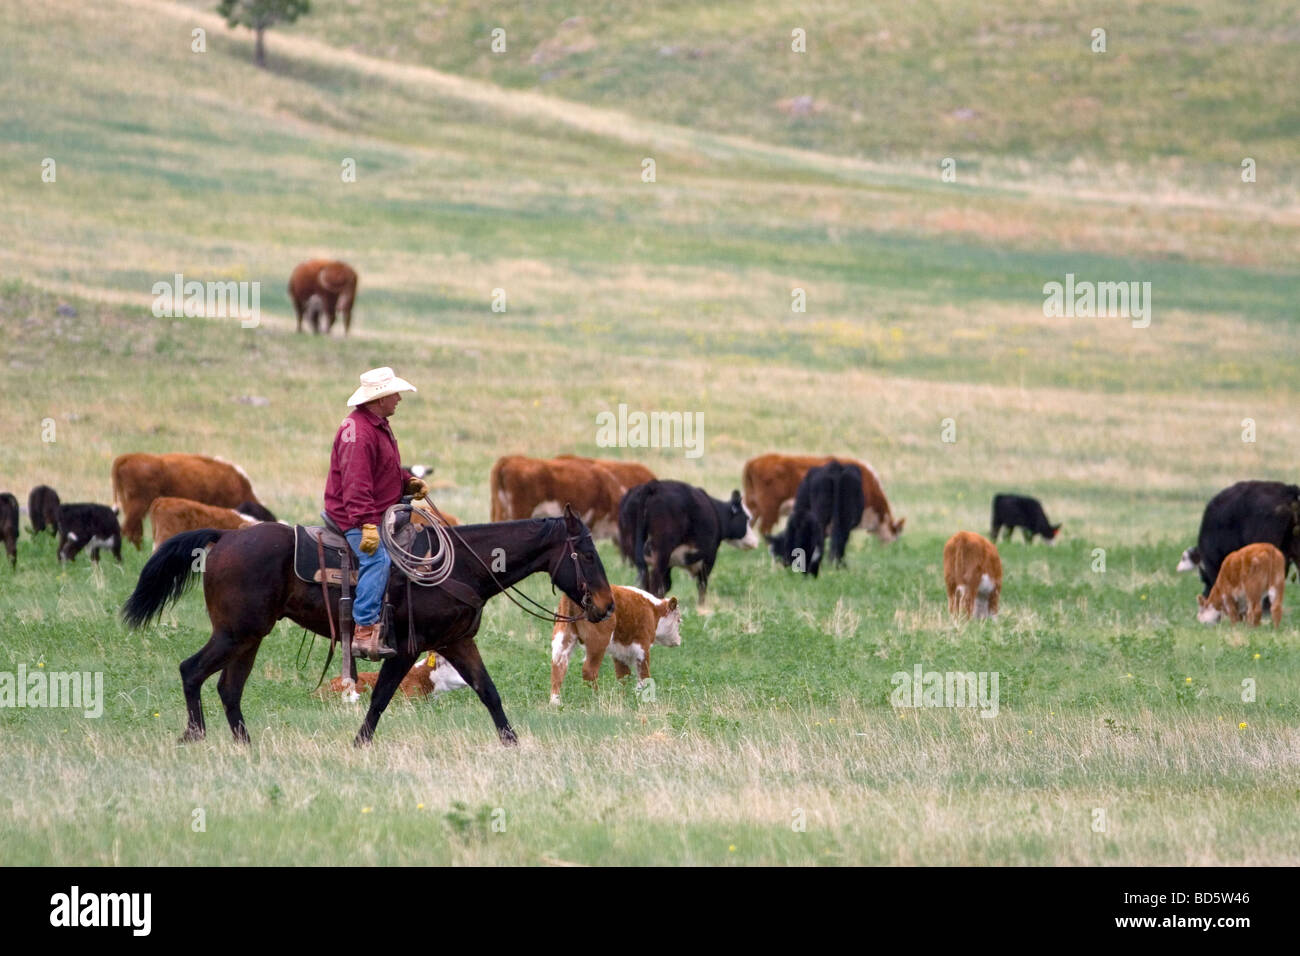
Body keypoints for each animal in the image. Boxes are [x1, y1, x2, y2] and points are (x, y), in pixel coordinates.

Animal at [550, 585, 682, 703]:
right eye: (679, 620)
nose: (678, 640)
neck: (653, 610)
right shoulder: (642, 646)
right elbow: (644, 674)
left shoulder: (620, 651)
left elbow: (623, 675)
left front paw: (625, 696)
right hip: (597, 643)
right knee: (589, 670)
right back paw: (595, 698)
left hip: (562, 637)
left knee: (558, 667)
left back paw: (555, 701)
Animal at [617, 479, 758, 603]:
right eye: (747, 518)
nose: (755, 541)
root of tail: (653, 486)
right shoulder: (709, 556)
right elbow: (702, 584)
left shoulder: (670, 564)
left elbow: (667, 585)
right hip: (662, 551)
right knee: (654, 582)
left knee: (646, 582)